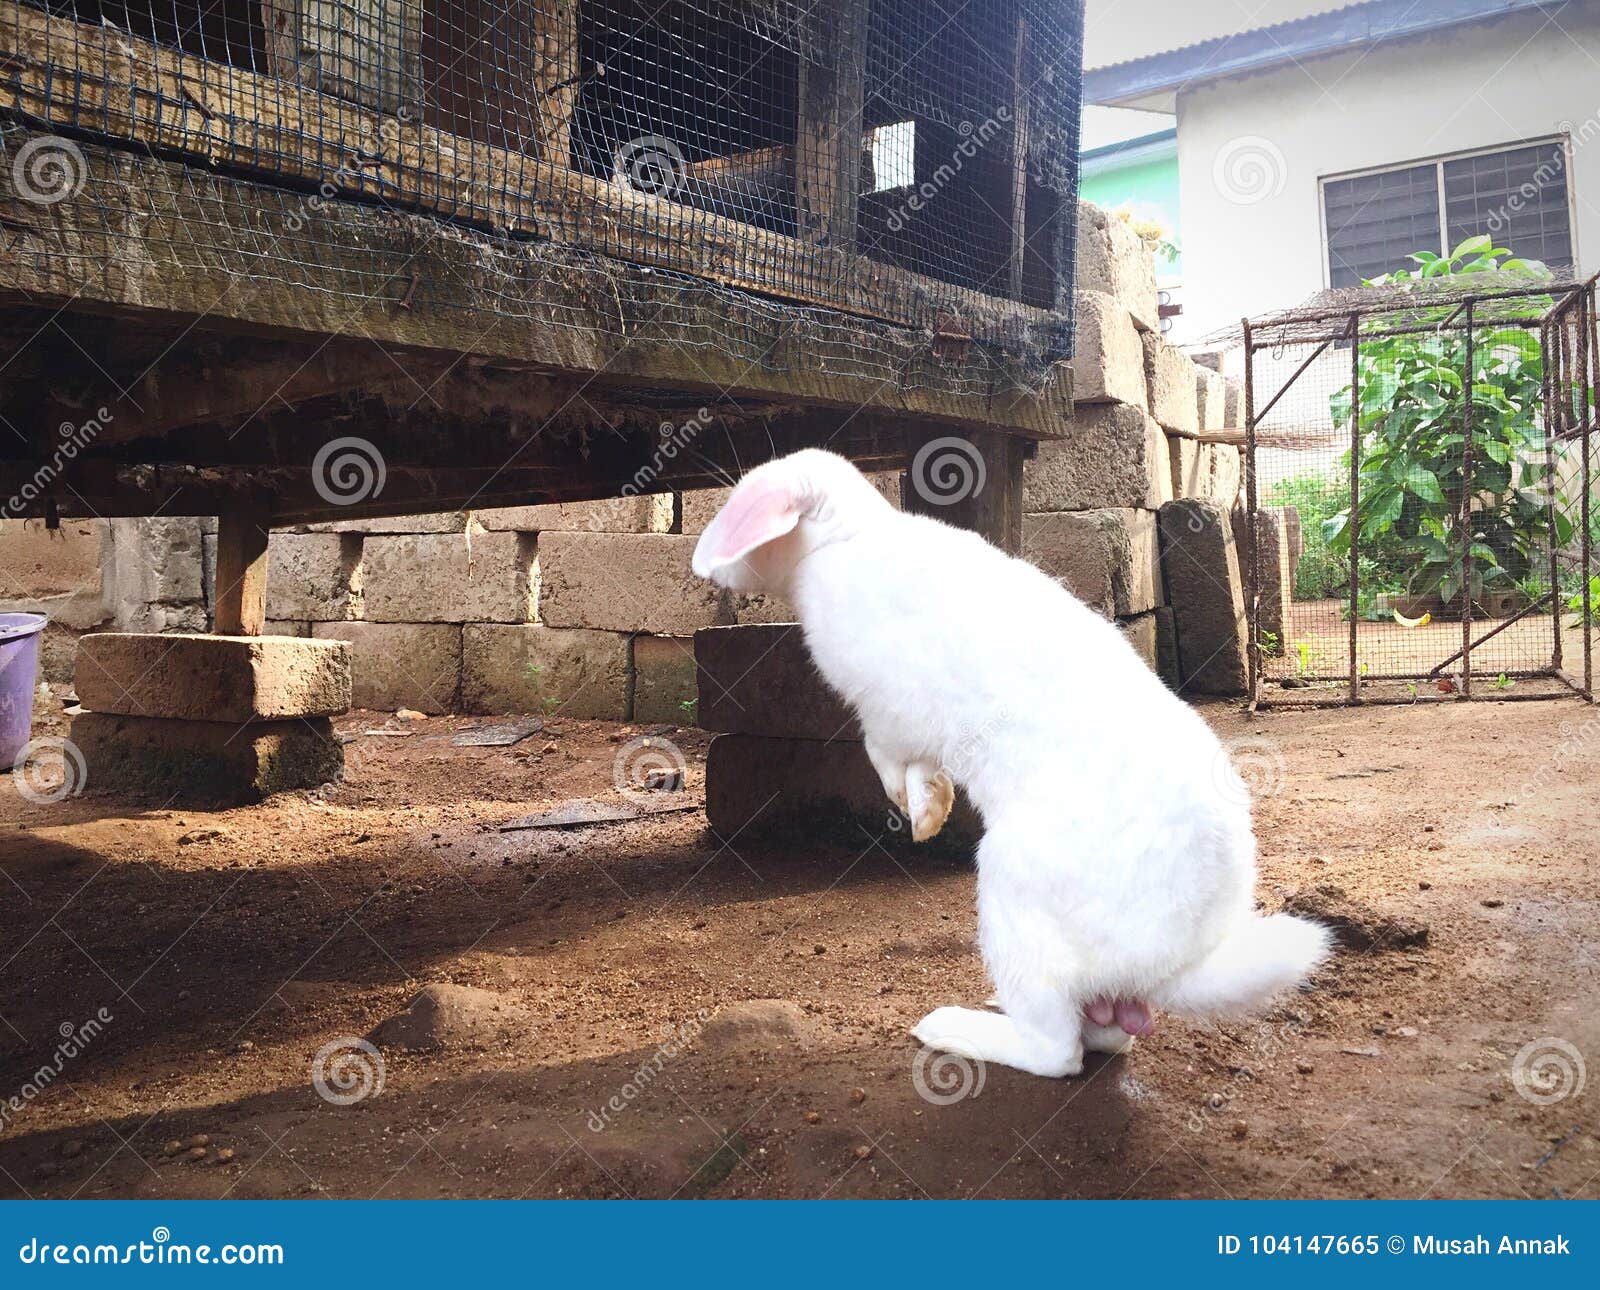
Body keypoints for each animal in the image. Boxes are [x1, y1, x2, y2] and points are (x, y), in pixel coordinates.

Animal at [690, 448, 1331, 1078]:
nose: (709, 570)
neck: (838, 540)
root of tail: (1178, 961)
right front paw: (931, 812)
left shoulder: (890, 716)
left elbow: (887, 757)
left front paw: (915, 811)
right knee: (1106, 1036)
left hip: (1012, 896)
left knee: (1058, 1053)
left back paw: (950, 1028)